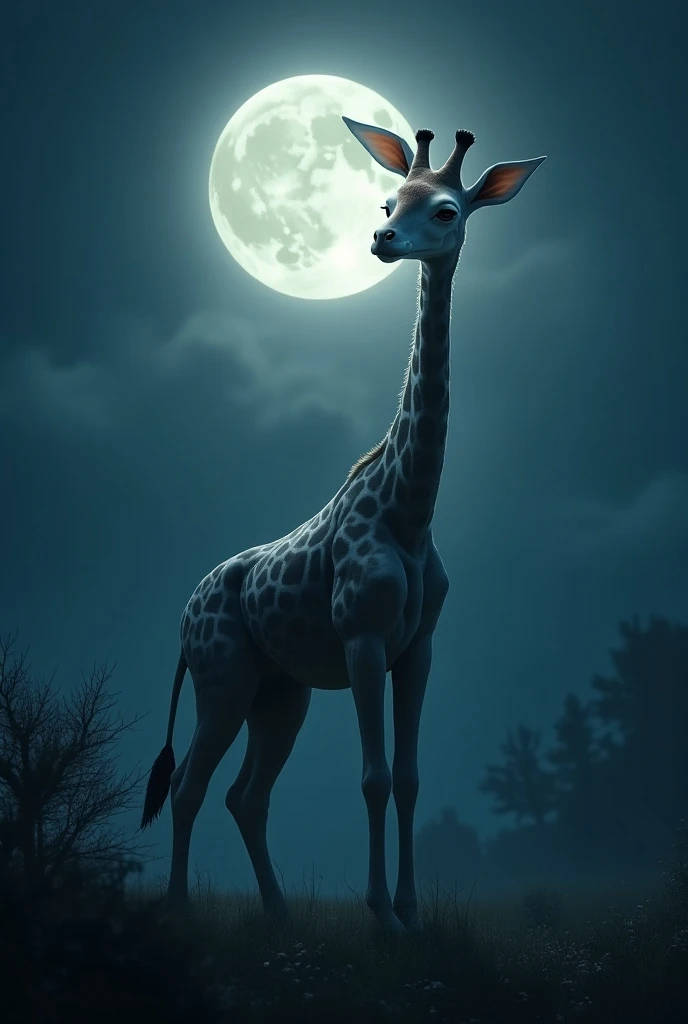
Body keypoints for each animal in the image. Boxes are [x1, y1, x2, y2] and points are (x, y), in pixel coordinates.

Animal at [140, 116, 545, 934]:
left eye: (446, 210)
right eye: (390, 199)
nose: (383, 239)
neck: (409, 511)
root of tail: (184, 615)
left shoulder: (417, 648)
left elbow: (412, 776)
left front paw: (412, 915)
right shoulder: (361, 638)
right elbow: (374, 776)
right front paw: (381, 917)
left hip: (280, 694)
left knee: (243, 795)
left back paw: (279, 915)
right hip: (222, 678)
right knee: (192, 785)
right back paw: (179, 911)